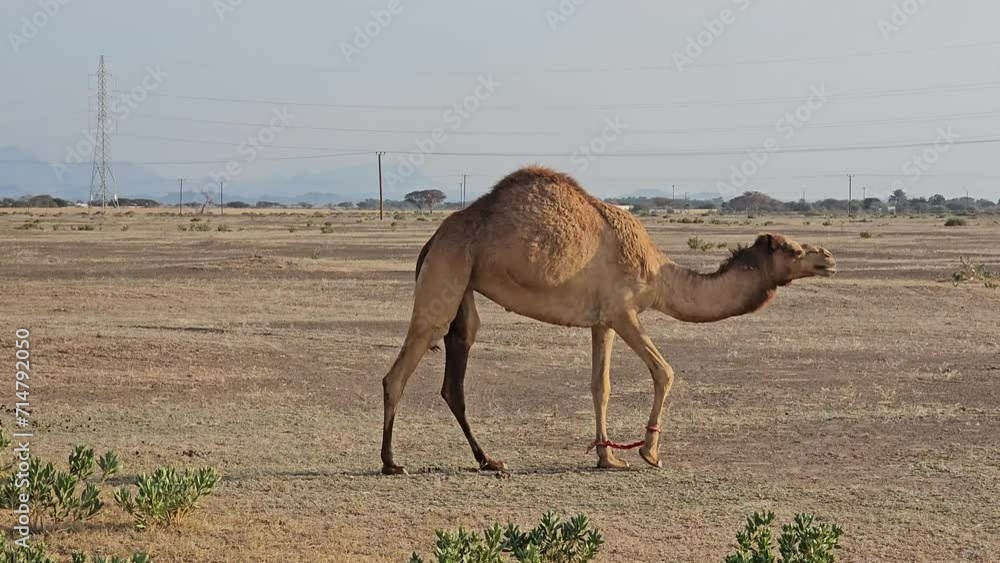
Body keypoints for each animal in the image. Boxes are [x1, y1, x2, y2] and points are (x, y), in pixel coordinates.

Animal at [380, 166, 836, 475]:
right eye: (795, 250)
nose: (829, 258)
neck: (658, 273)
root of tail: (432, 240)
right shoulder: (623, 311)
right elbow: (665, 371)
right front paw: (649, 452)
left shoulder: (602, 321)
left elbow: (601, 386)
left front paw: (607, 456)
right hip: (448, 271)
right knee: (401, 369)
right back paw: (391, 462)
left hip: (463, 286)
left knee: (456, 369)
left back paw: (489, 459)